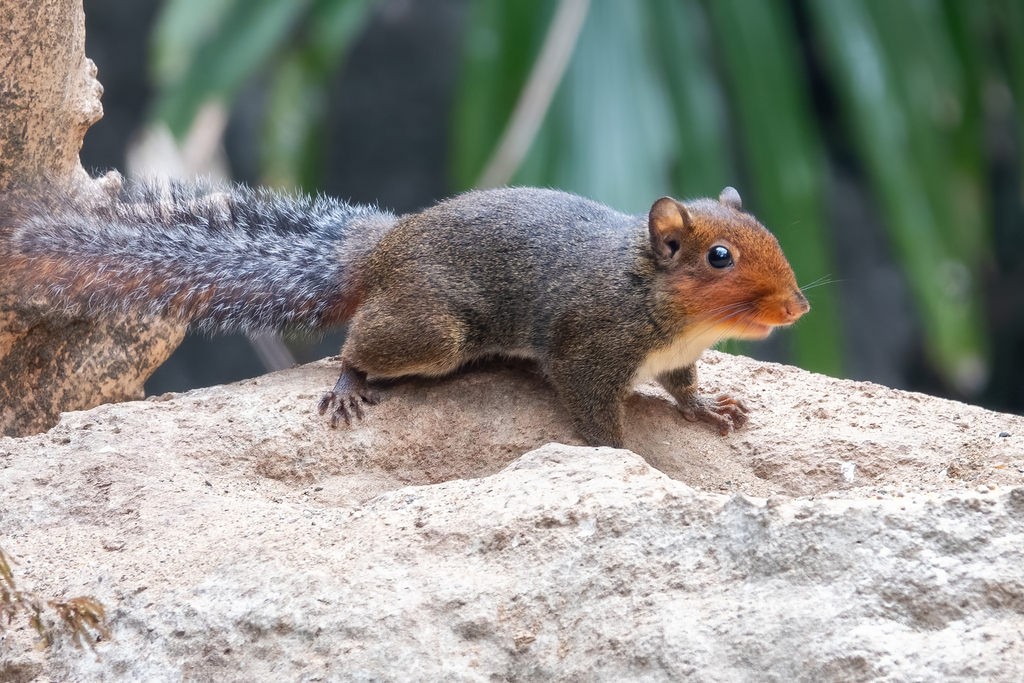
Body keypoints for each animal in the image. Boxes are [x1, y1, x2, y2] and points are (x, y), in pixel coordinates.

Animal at [1, 176, 809, 447]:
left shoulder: (675, 361)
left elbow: (684, 389)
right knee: (360, 343)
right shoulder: (588, 349)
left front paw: (711, 409)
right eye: (719, 257)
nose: (798, 306)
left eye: (766, 230)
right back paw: (349, 384)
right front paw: (622, 457)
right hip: (433, 328)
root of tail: (383, 250)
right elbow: (593, 411)